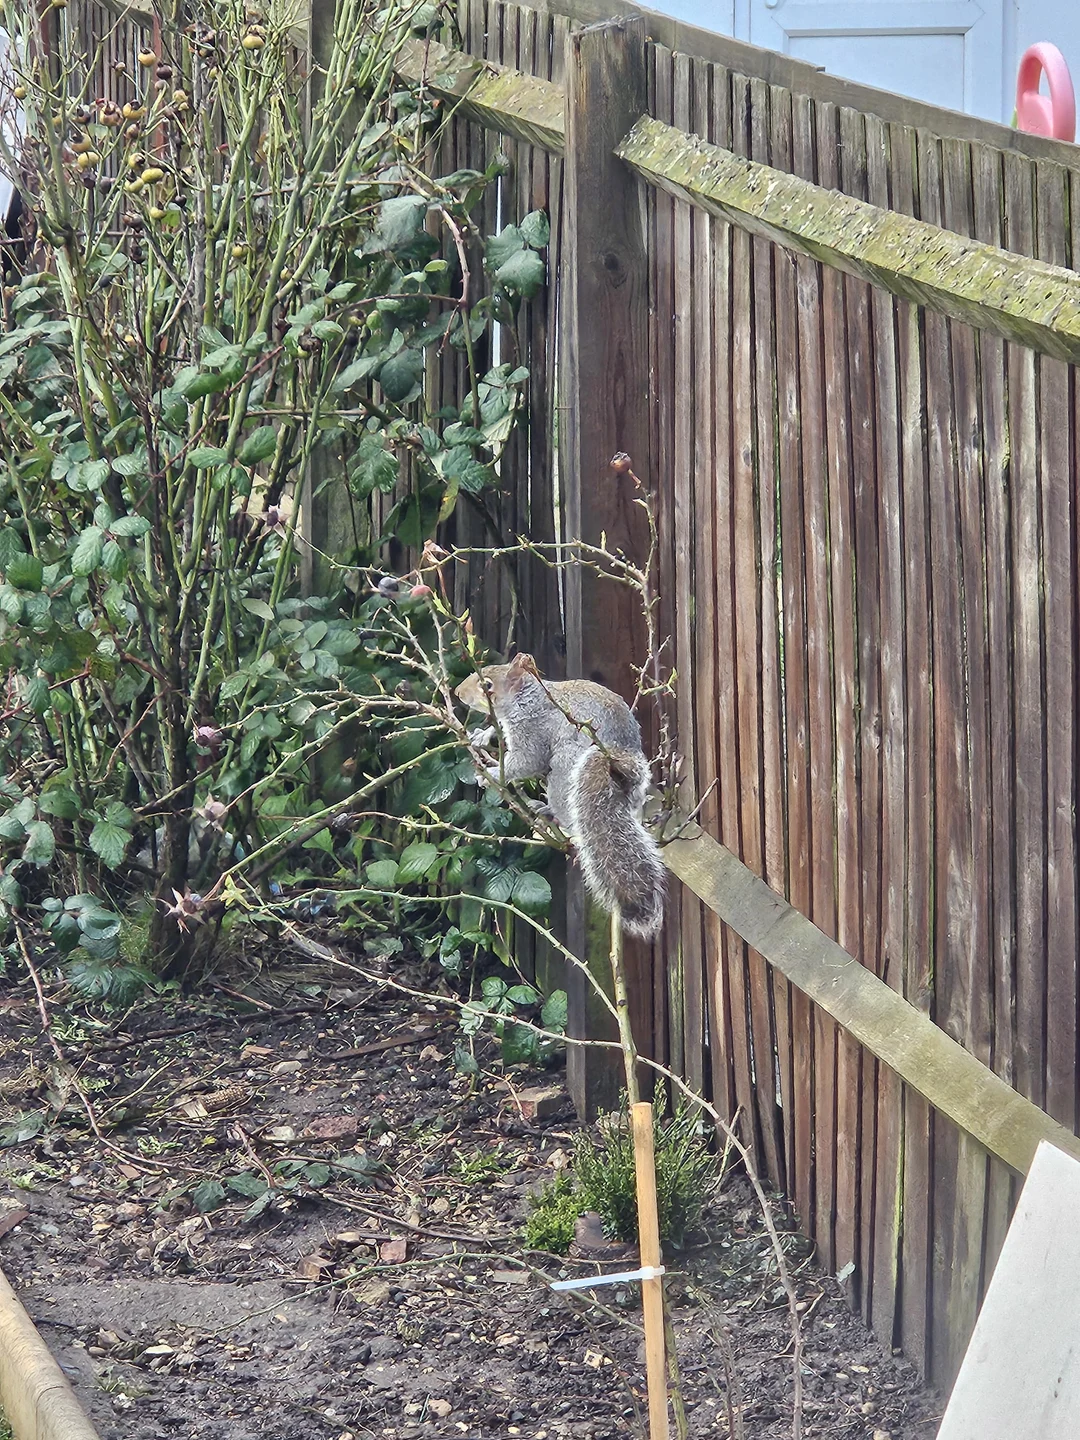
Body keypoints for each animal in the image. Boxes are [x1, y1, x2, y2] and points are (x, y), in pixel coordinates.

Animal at [456, 653, 665, 938]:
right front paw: (481, 736)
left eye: (487, 685)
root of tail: (620, 764)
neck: (526, 698)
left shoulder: (534, 729)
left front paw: (491, 772)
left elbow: (527, 760)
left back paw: (561, 823)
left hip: (566, 768)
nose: (457, 692)